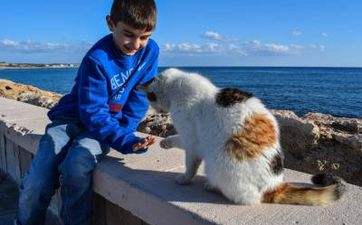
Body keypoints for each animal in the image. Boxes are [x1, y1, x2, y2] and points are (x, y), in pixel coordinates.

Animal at [139, 67, 346, 205]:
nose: (157, 111)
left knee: (244, 198)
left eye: (151, 98)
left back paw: (212, 186)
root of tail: (275, 185)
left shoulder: (191, 141)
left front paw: (181, 173)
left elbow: (188, 161)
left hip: (218, 165)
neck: (177, 88)